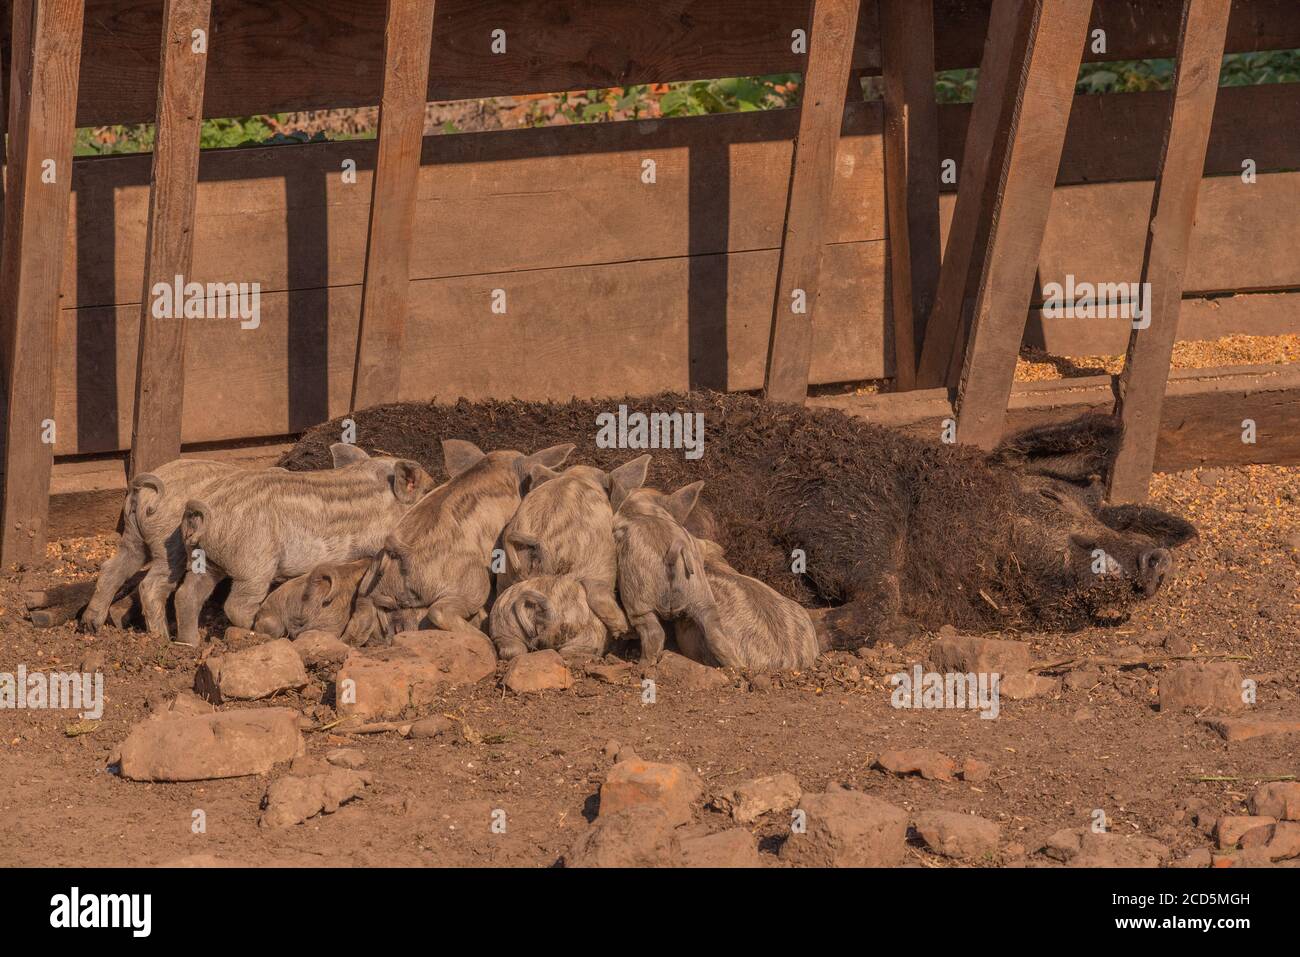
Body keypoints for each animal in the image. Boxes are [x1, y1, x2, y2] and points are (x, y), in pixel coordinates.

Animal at [174, 450, 435, 645]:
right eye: (428, 491)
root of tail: (204, 509)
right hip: (254, 562)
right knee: (237, 605)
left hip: (204, 559)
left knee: (186, 595)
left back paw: (189, 643)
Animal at [349, 439, 574, 643]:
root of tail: (396, 554)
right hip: (473, 582)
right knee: (440, 611)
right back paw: (484, 641)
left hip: (367, 586)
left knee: (359, 619)